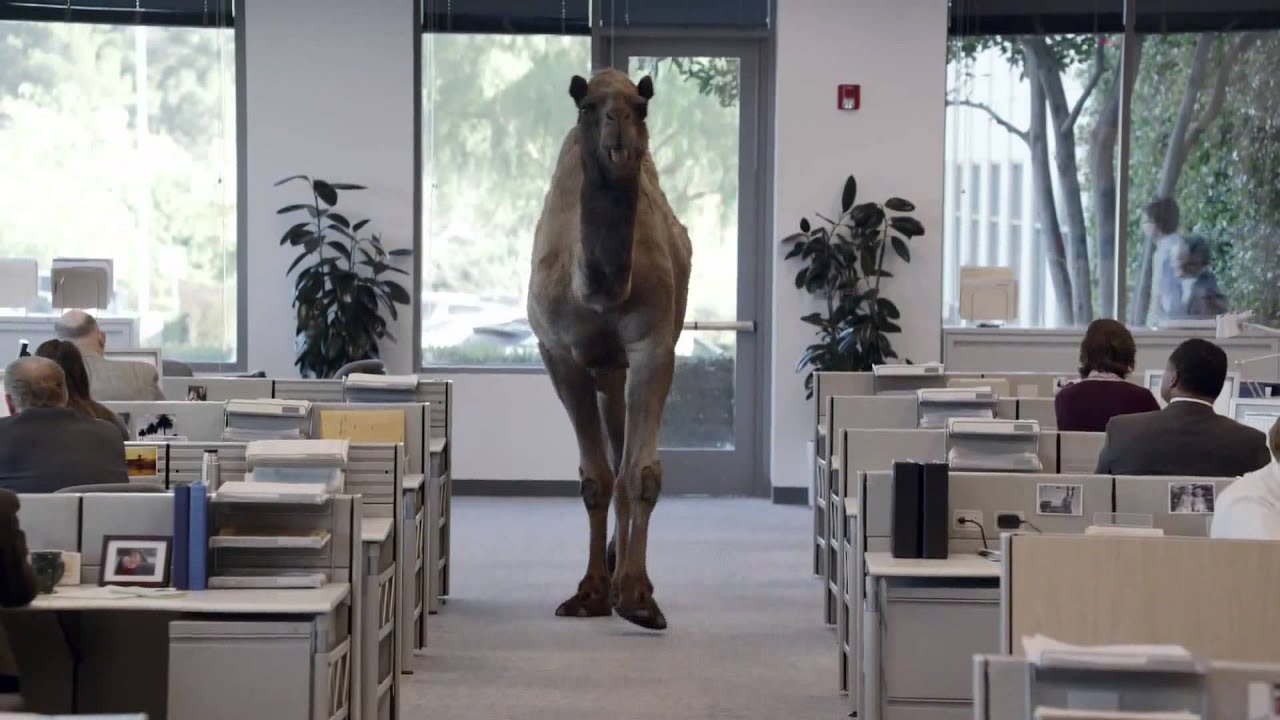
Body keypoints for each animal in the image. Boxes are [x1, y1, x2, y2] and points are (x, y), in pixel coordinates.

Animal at [527, 68, 692, 630]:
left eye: (641, 107)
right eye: (588, 107)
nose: (618, 123)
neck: (597, 287)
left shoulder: (651, 347)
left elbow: (638, 473)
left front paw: (637, 596)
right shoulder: (560, 355)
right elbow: (596, 478)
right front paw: (590, 593)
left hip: (623, 366)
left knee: (625, 455)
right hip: (603, 372)